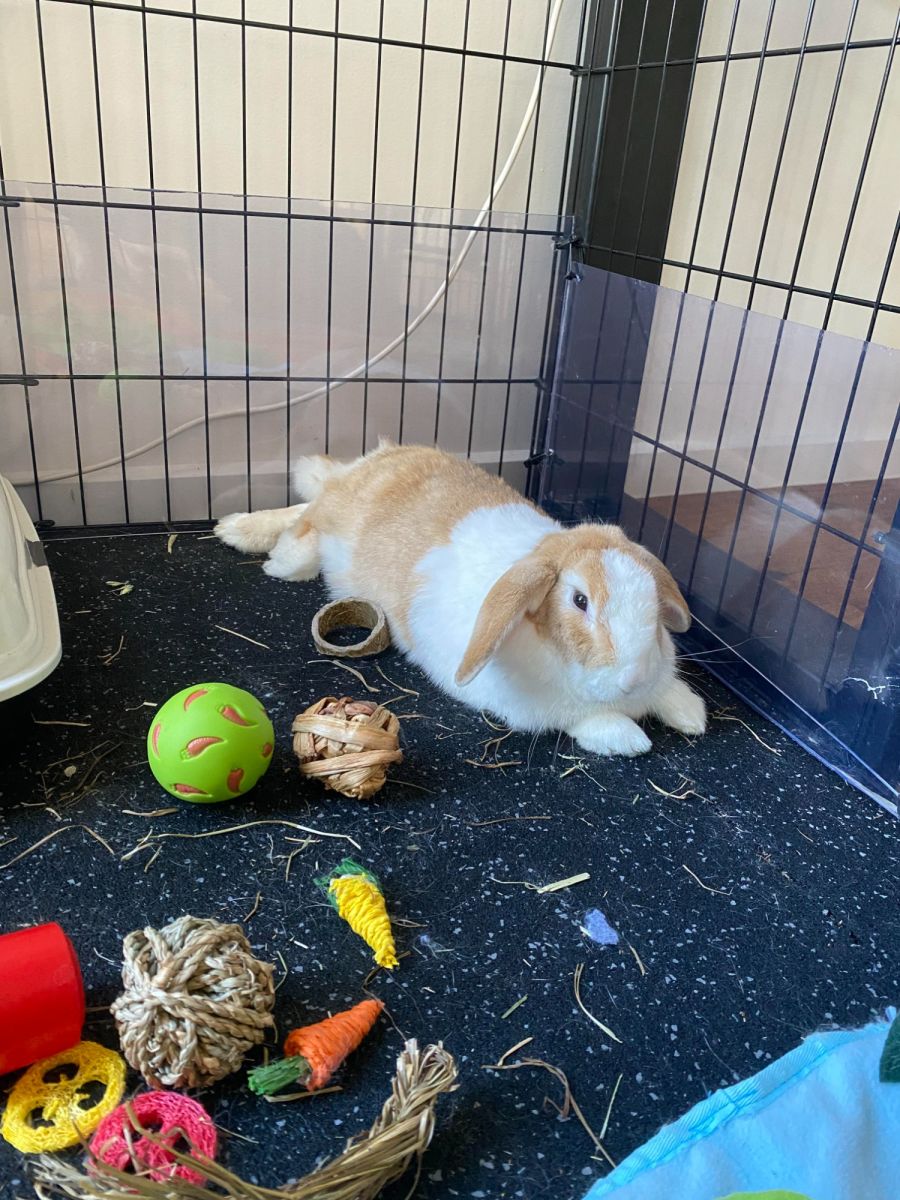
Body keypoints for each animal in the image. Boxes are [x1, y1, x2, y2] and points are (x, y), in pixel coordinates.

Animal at [215, 441, 706, 757]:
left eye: (651, 597)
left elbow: (669, 693)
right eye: (580, 600)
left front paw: (690, 713)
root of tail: (379, 458)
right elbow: (587, 722)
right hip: (331, 517)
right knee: (306, 518)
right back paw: (260, 545)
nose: (633, 679)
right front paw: (629, 739)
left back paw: (234, 529)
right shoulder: (535, 707)